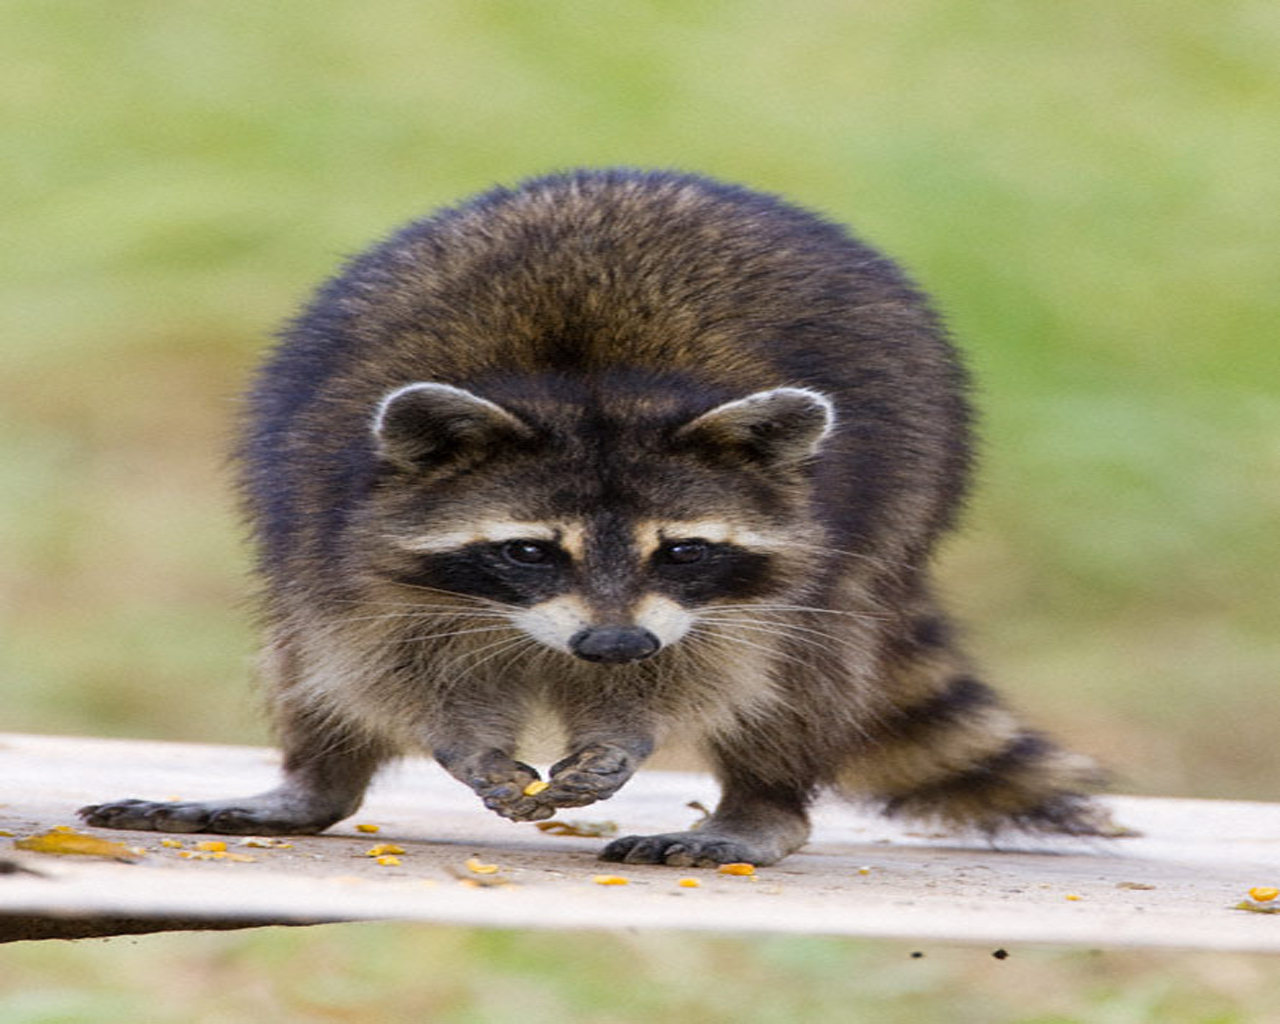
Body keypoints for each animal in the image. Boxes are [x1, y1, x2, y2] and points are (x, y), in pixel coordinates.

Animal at [81, 169, 1112, 867]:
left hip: (893, 507)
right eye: (530, 551)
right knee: (307, 660)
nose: (615, 648)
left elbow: (722, 664)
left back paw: (762, 805)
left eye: (684, 550)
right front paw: (464, 738)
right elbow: (383, 660)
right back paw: (315, 782)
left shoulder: (752, 581)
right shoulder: (337, 524)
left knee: (809, 670)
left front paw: (632, 727)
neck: (590, 384)